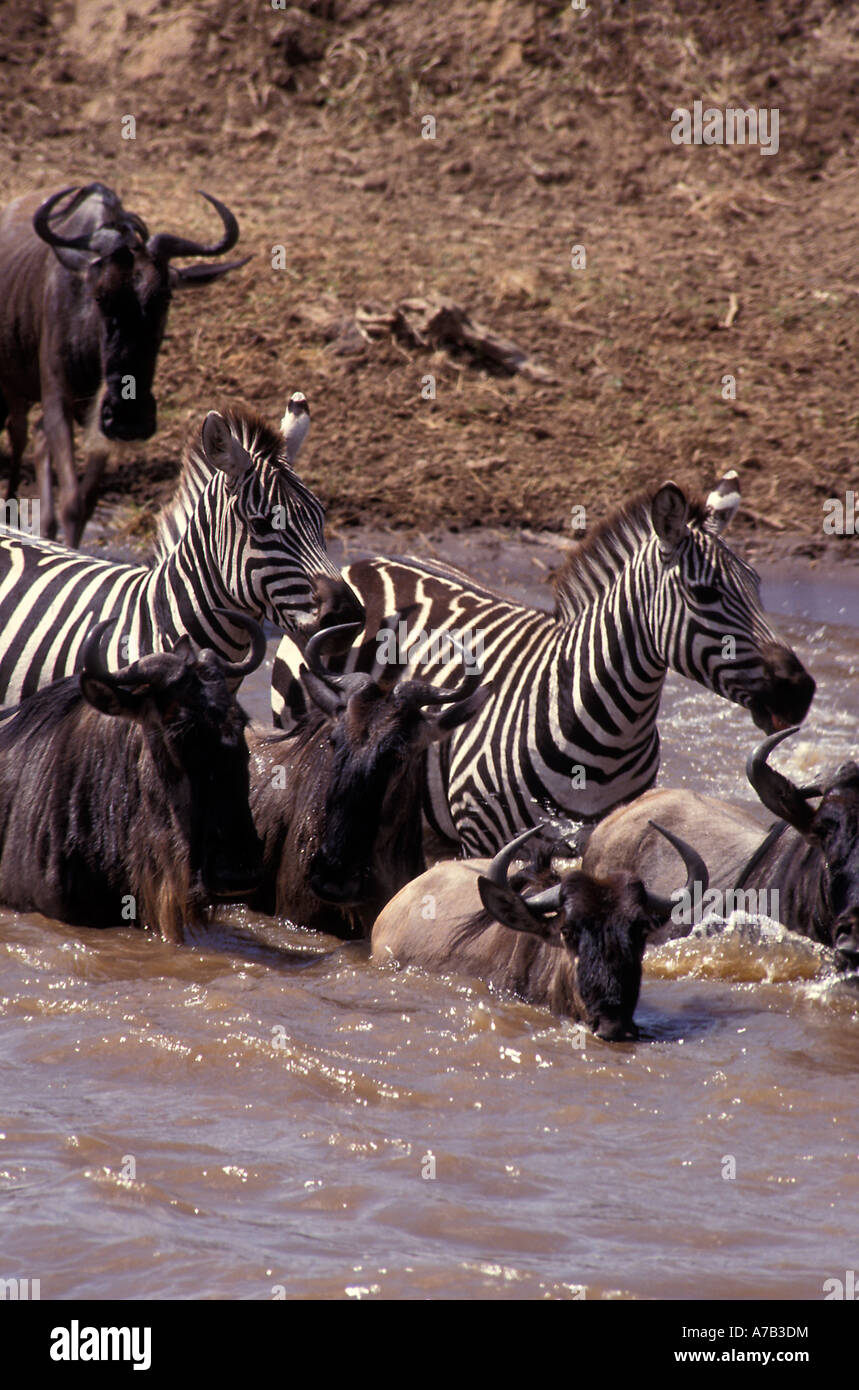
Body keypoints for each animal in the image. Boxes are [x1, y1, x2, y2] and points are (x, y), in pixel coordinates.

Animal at [270, 472, 815, 855]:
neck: (608, 733)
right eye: (704, 594)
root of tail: (361, 563)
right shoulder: (485, 840)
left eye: (758, 586)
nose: (801, 691)